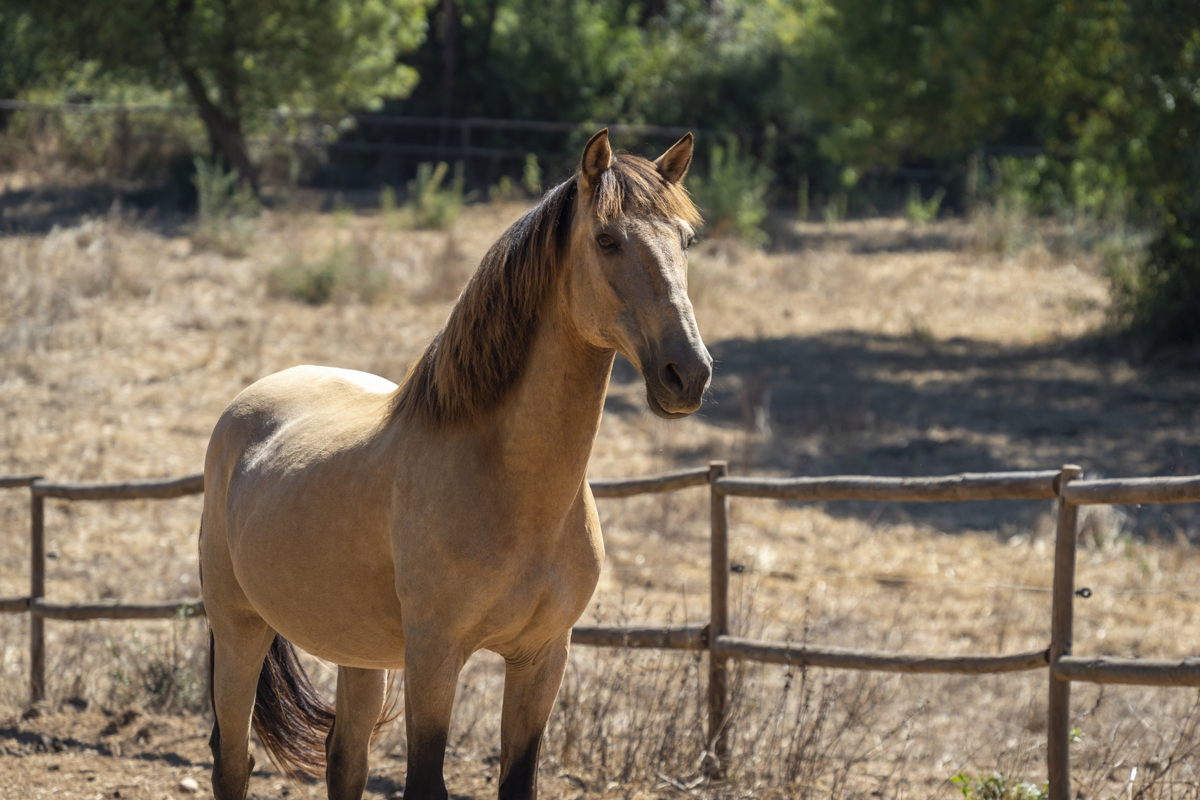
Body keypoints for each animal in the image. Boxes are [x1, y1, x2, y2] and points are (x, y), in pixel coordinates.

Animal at [200, 129, 711, 800]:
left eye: (685, 240)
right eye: (607, 240)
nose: (689, 374)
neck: (512, 488)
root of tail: (246, 405)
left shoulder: (542, 657)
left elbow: (517, 783)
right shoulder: (434, 658)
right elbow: (426, 781)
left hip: (360, 653)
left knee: (344, 759)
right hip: (240, 629)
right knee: (233, 761)